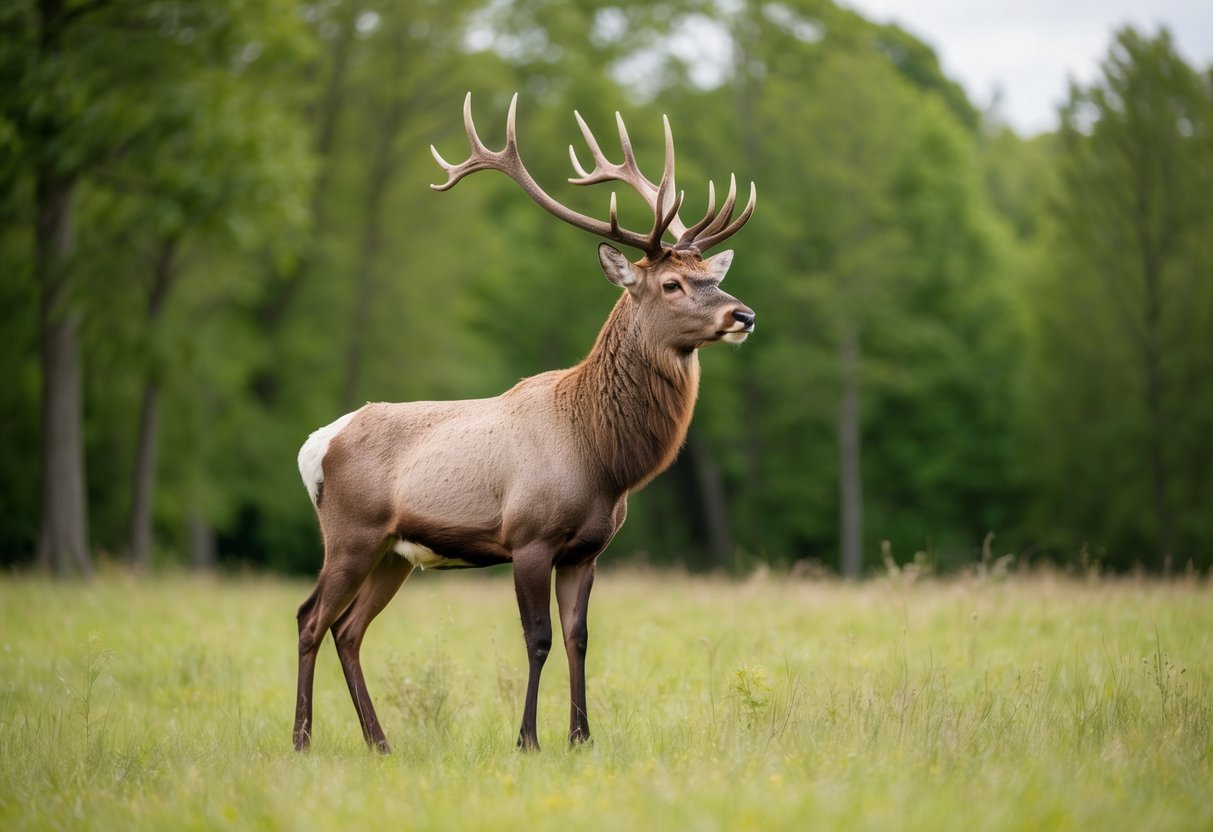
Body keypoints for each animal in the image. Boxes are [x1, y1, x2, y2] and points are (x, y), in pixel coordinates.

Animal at [293, 92, 756, 754]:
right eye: (672, 283)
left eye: (712, 277)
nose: (743, 314)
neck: (601, 460)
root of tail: (315, 445)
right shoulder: (529, 536)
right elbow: (537, 639)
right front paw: (529, 740)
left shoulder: (587, 549)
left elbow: (578, 638)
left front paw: (581, 737)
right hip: (349, 533)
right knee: (311, 618)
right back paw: (302, 741)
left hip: (392, 552)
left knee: (348, 629)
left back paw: (380, 744)